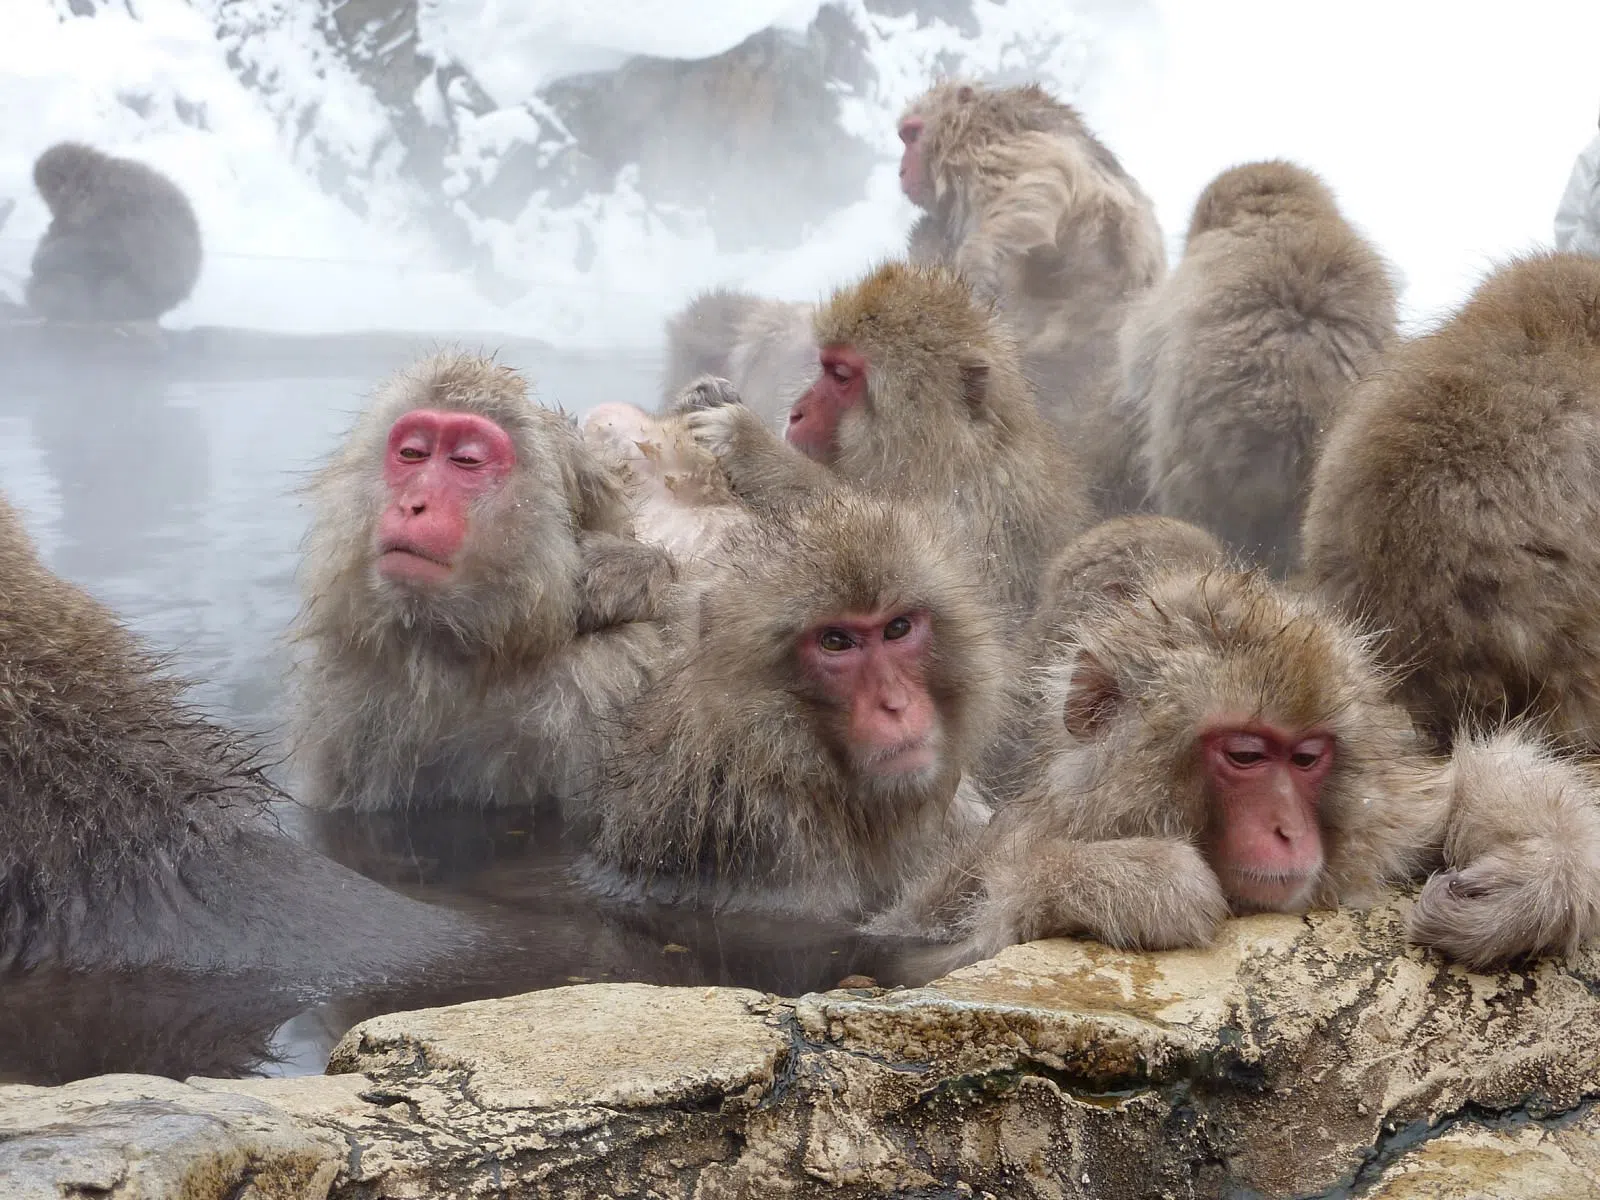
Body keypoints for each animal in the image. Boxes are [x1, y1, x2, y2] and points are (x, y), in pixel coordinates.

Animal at [24, 142, 203, 324]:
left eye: (53, 202)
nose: (57, 221)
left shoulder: (117, 209)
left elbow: (102, 247)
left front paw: (44, 259)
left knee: (111, 287)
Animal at [683, 261, 1093, 618]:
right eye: (825, 366)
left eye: (841, 376)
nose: (797, 412)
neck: (943, 462)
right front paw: (707, 393)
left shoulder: (975, 512)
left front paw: (745, 441)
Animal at [873, 568, 1600, 973]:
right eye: (1246, 756)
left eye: (1306, 757)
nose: (1288, 832)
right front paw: (1139, 881)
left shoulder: (1382, 822)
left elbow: (1442, 792)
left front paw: (1530, 881)